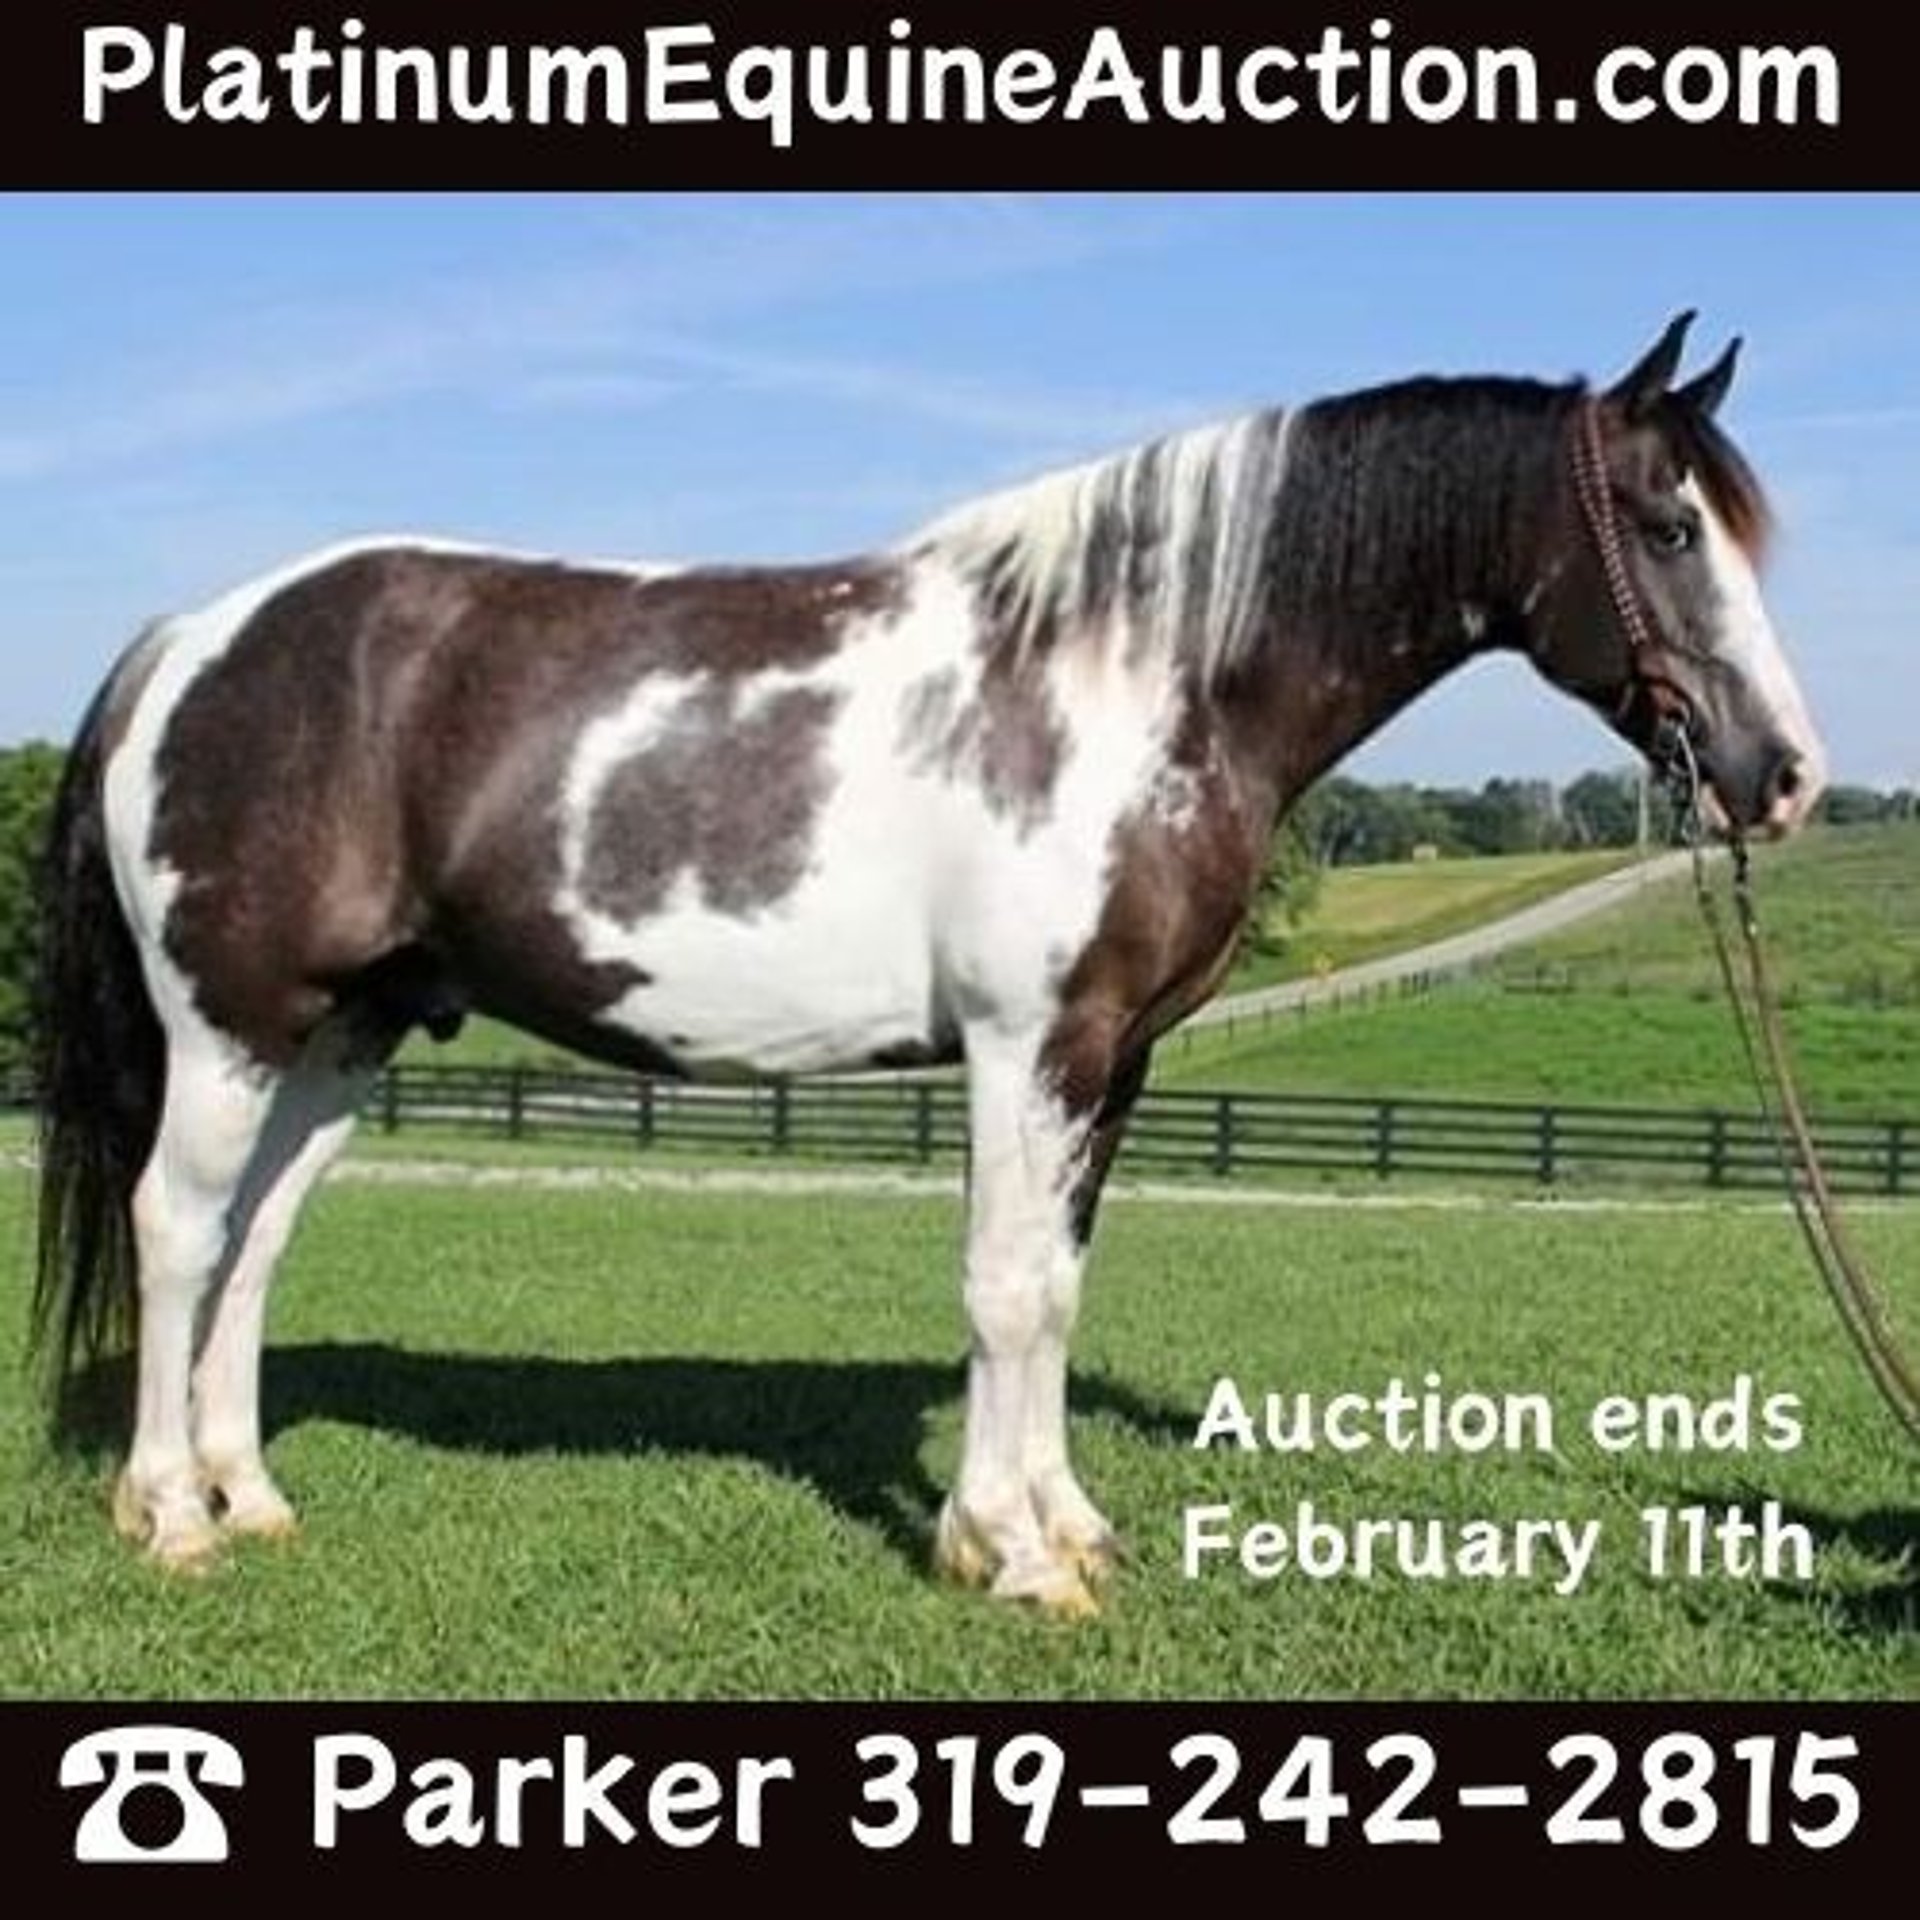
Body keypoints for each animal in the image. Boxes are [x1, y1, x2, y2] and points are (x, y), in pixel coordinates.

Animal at [31, 313, 1826, 1615]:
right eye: (1670, 525)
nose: (1785, 776)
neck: (1134, 673)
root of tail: (189, 641)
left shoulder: (1114, 1059)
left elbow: (1056, 1286)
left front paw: (1058, 1526)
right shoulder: (1031, 1044)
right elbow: (1008, 1286)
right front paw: (1013, 1558)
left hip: (343, 1037)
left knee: (256, 1244)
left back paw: (249, 1497)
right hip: (230, 1029)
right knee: (179, 1230)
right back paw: (168, 1517)